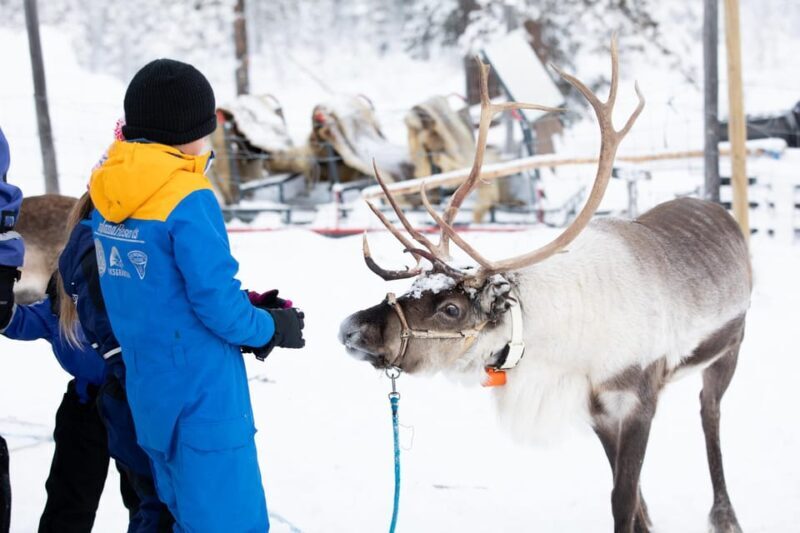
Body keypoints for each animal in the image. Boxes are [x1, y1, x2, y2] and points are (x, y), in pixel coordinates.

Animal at [338, 37, 751, 533]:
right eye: (415, 284)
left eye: (452, 308)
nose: (350, 328)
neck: (562, 346)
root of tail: (719, 211)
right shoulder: (595, 408)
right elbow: (633, 499)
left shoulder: (638, 398)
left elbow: (622, 498)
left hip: (730, 348)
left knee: (710, 412)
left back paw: (725, 514)